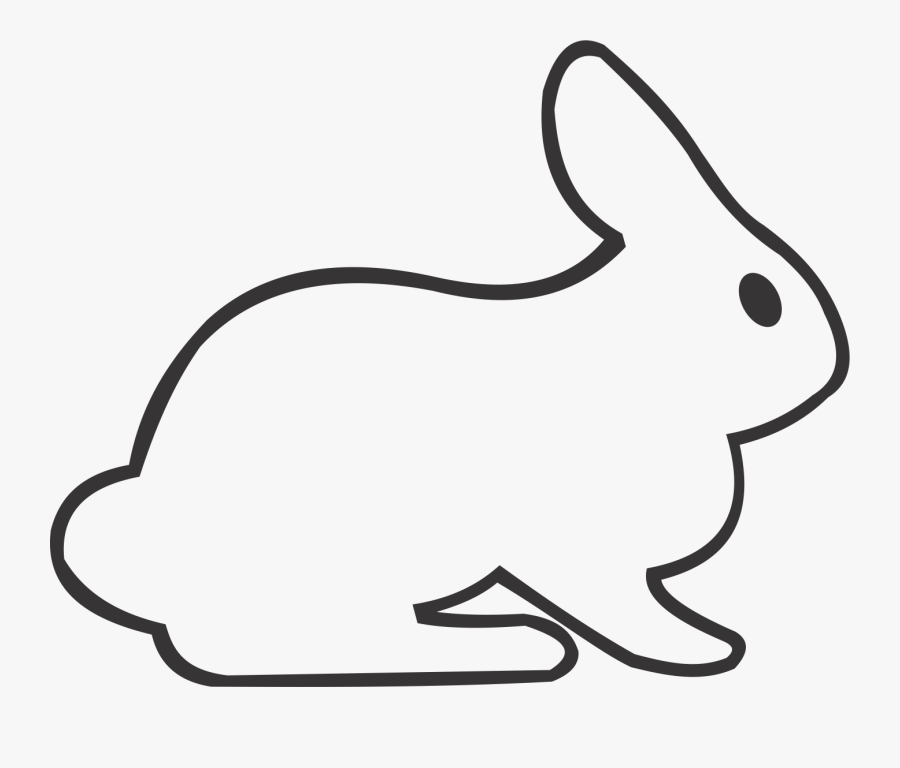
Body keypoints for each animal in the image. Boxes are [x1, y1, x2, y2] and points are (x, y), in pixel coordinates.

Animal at [53, 41, 848, 685]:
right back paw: (513, 648)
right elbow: (621, 607)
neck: (644, 361)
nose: (833, 364)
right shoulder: (579, 552)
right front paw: (699, 649)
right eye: (761, 300)